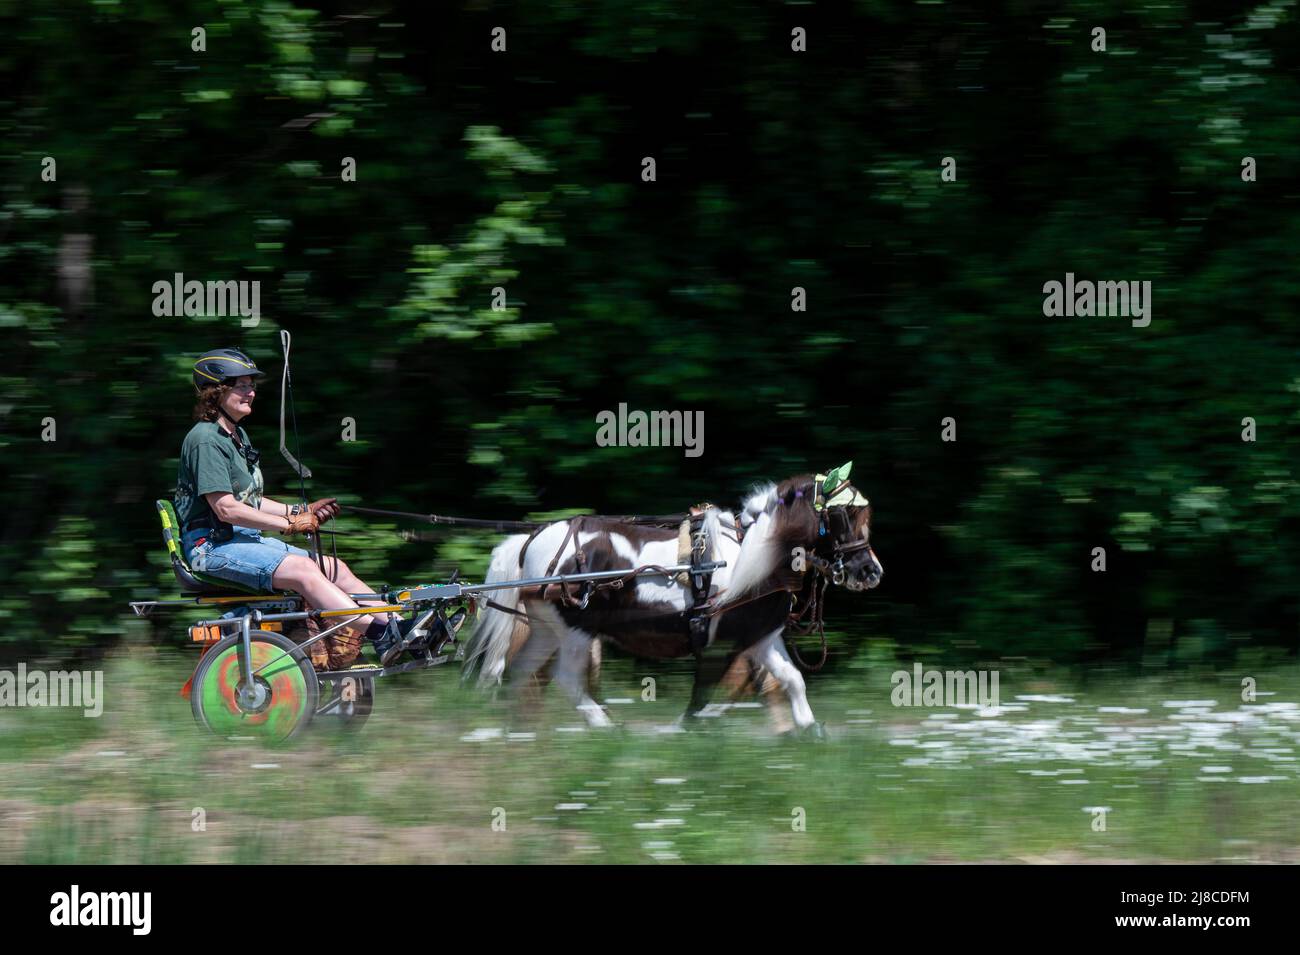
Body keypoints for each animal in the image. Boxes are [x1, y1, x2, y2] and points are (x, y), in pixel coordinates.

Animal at [462, 465, 883, 735]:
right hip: (575, 631)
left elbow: (792, 679)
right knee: (566, 679)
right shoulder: (720, 643)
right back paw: (604, 727)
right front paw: (685, 729)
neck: (755, 556)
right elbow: (703, 696)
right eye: (844, 515)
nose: (871, 571)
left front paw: (809, 728)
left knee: (522, 673)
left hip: (548, 630)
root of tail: (530, 540)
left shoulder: (760, 637)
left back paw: (520, 734)